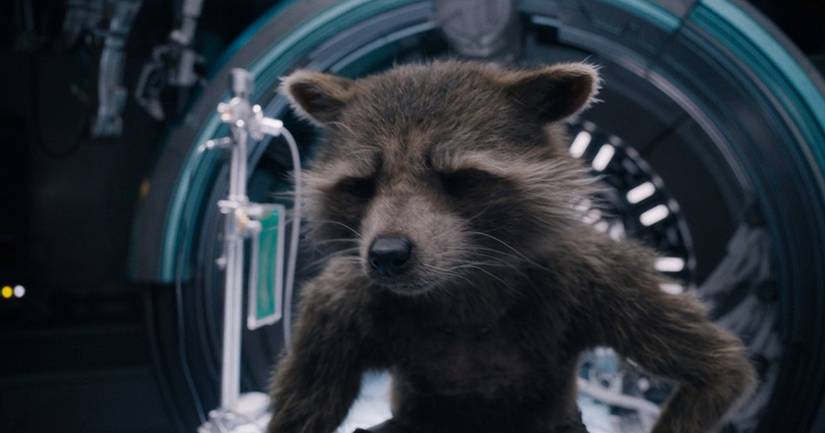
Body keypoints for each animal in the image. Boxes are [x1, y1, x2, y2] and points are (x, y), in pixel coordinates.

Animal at [267, 61, 756, 433]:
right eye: (362, 185)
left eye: (459, 179)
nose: (387, 254)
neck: (461, 279)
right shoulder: (338, 305)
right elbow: (303, 410)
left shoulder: (597, 274)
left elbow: (720, 368)